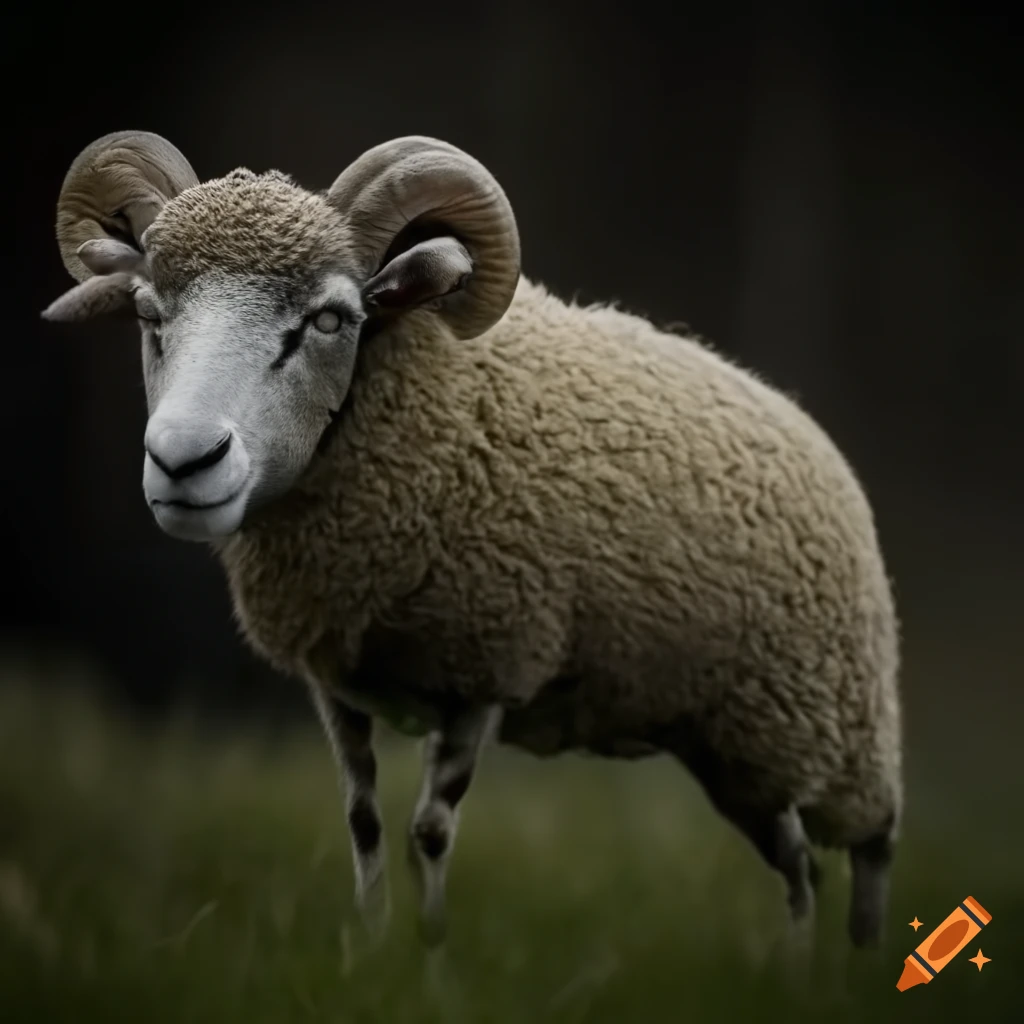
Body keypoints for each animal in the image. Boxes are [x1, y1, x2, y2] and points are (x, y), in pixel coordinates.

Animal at [42, 130, 903, 962]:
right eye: (150, 314)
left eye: (330, 319)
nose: (185, 460)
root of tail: (809, 427)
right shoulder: (337, 682)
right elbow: (362, 821)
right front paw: (371, 953)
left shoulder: (488, 667)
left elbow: (430, 830)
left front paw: (429, 962)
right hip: (735, 747)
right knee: (799, 864)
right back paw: (798, 976)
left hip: (829, 717)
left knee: (867, 851)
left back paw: (857, 971)